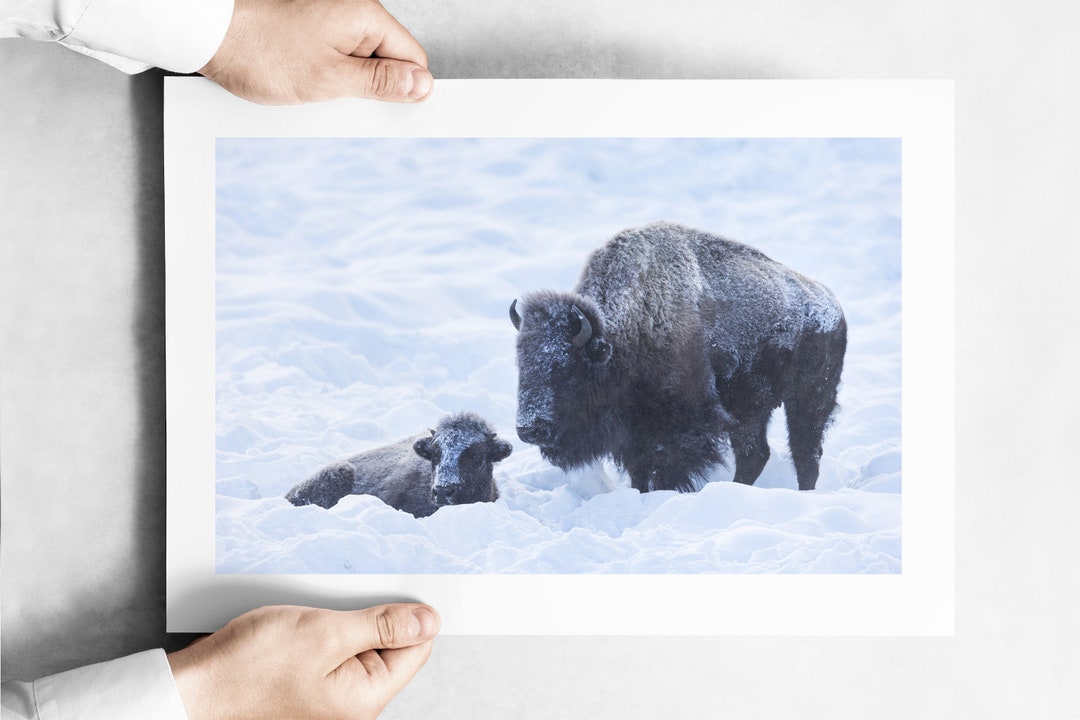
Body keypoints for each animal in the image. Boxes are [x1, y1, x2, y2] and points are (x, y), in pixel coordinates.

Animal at [509, 221, 846, 493]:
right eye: (522, 366)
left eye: (565, 369)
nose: (529, 429)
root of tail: (833, 305)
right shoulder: (635, 436)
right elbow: (639, 471)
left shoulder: (680, 429)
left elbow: (666, 468)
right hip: (752, 410)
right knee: (756, 454)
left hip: (808, 400)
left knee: (804, 453)